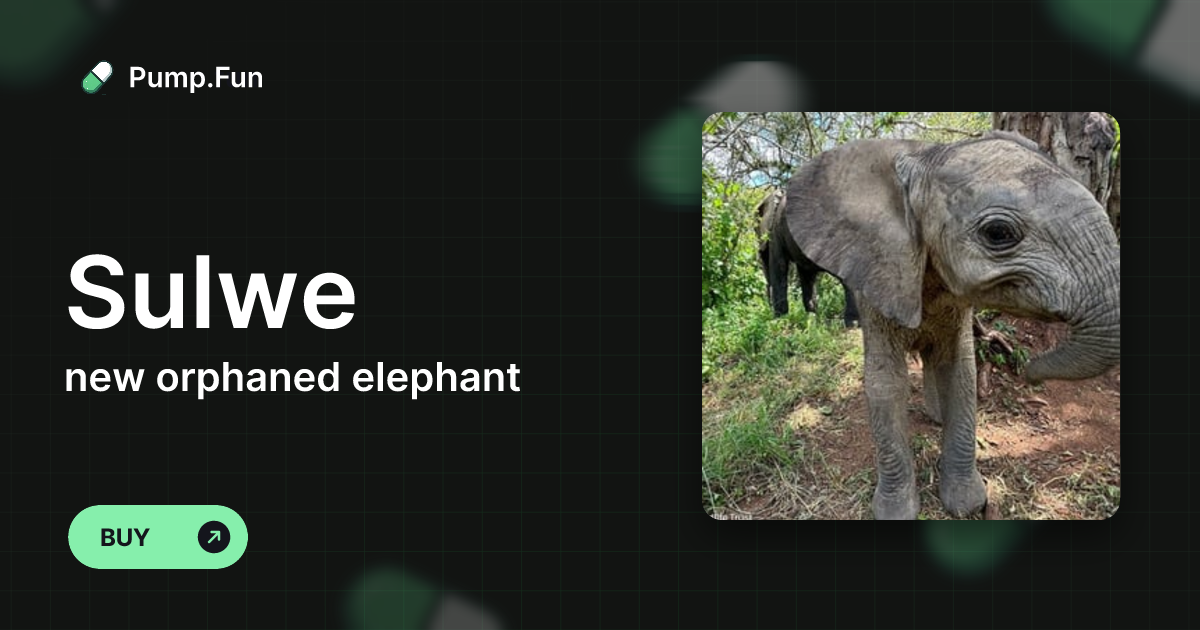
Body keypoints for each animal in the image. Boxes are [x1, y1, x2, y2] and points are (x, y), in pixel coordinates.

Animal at [756, 188, 860, 327]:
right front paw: (811, 320)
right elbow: (805, 274)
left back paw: (853, 323)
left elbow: (780, 266)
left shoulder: (776, 231)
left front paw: (780, 321)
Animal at [782, 130, 1120, 519]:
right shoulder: (878, 273)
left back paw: (936, 417)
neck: (922, 159)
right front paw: (896, 512)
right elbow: (885, 383)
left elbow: (960, 371)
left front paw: (967, 504)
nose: (1030, 372)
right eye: (998, 233)